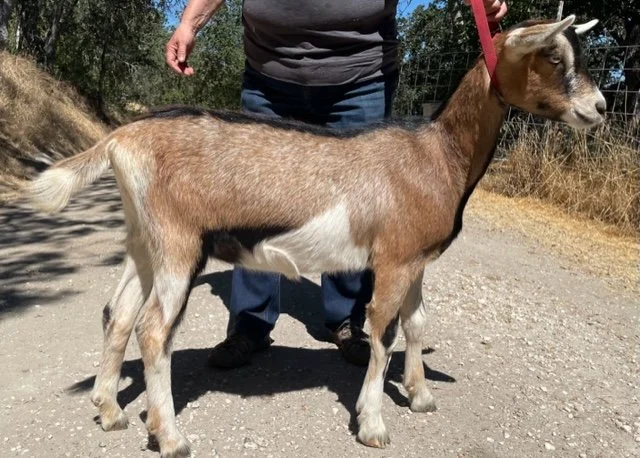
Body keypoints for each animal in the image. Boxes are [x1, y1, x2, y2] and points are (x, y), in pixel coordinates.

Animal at [28, 16, 604, 458]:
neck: (439, 154)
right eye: (553, 56)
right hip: (178, 243)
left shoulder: (416, 257)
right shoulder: (394, 259)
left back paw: (109, 411)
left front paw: (419, 396)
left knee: (118, 313)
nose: (598, 107)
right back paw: (170, 437)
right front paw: (373, 425)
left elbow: (416, 323)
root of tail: (121, 139)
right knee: (152, 330)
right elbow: (383, 332)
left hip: (144, 240)